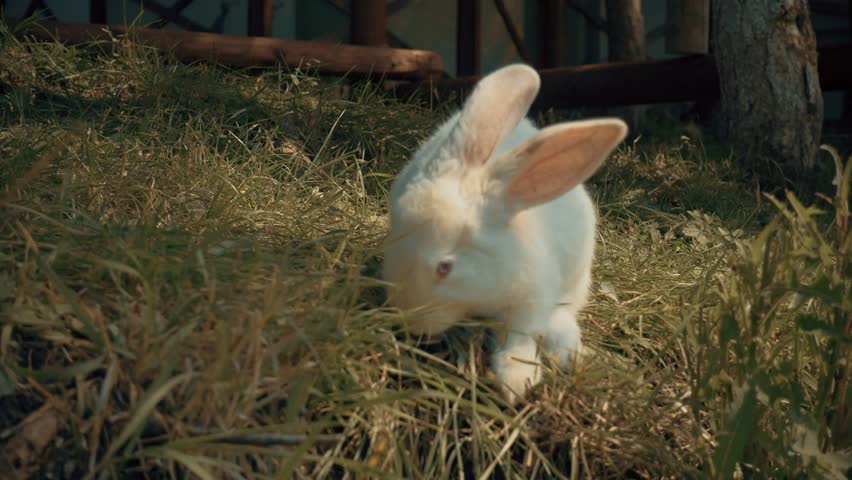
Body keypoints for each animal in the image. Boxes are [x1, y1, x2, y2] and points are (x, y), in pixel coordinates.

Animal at [382, 64, 627, 404]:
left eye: (445, 268)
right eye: (392, 233)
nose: (406, 319)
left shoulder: (531, 300)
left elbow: (519, 338)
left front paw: (516, 381)